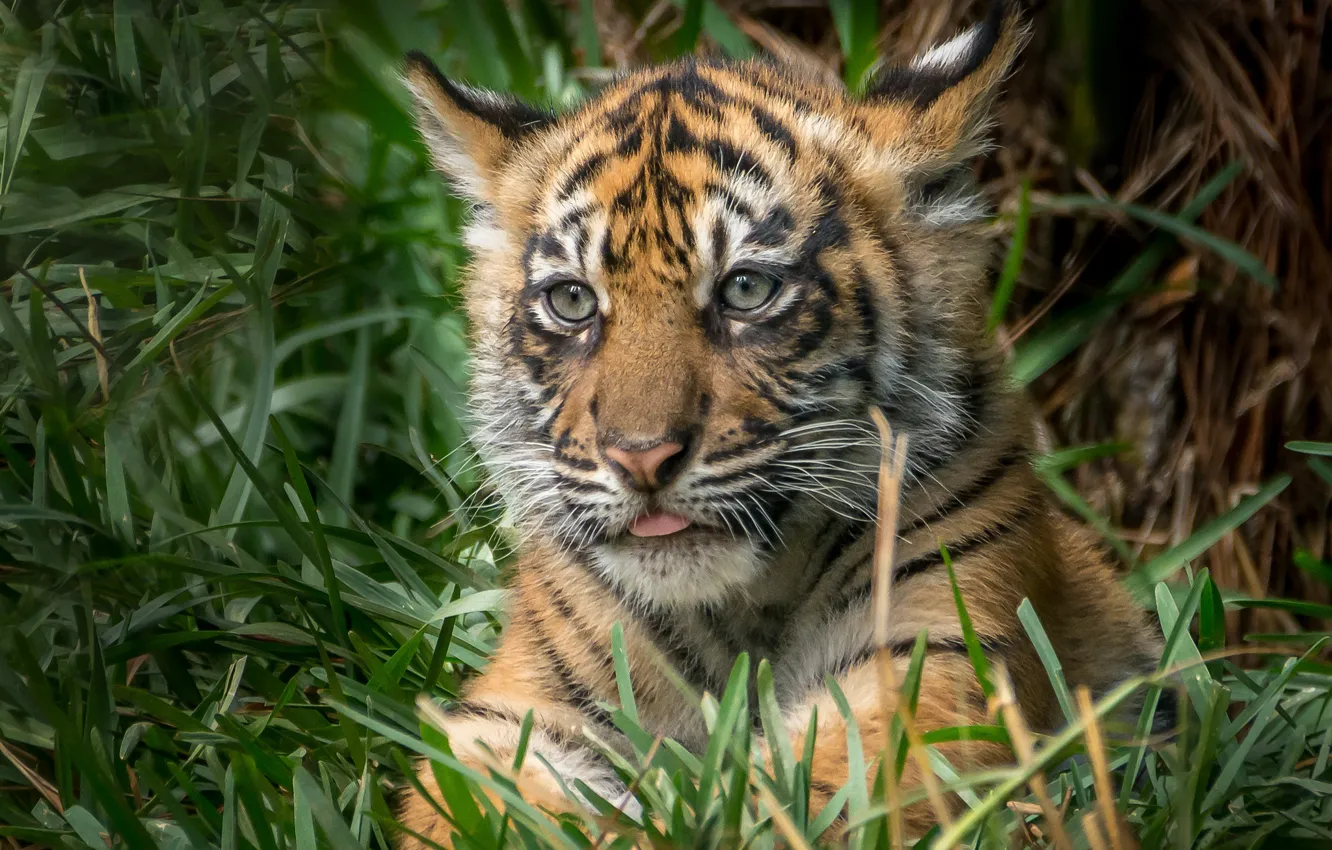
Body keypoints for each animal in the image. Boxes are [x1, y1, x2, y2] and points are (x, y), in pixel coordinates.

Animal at [397, 1, 1162, 844]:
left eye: (746, 290)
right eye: (572, 301)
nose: (641, 459)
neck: (744, 607)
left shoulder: (935, 660)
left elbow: (797, 801)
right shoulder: (508, 715)